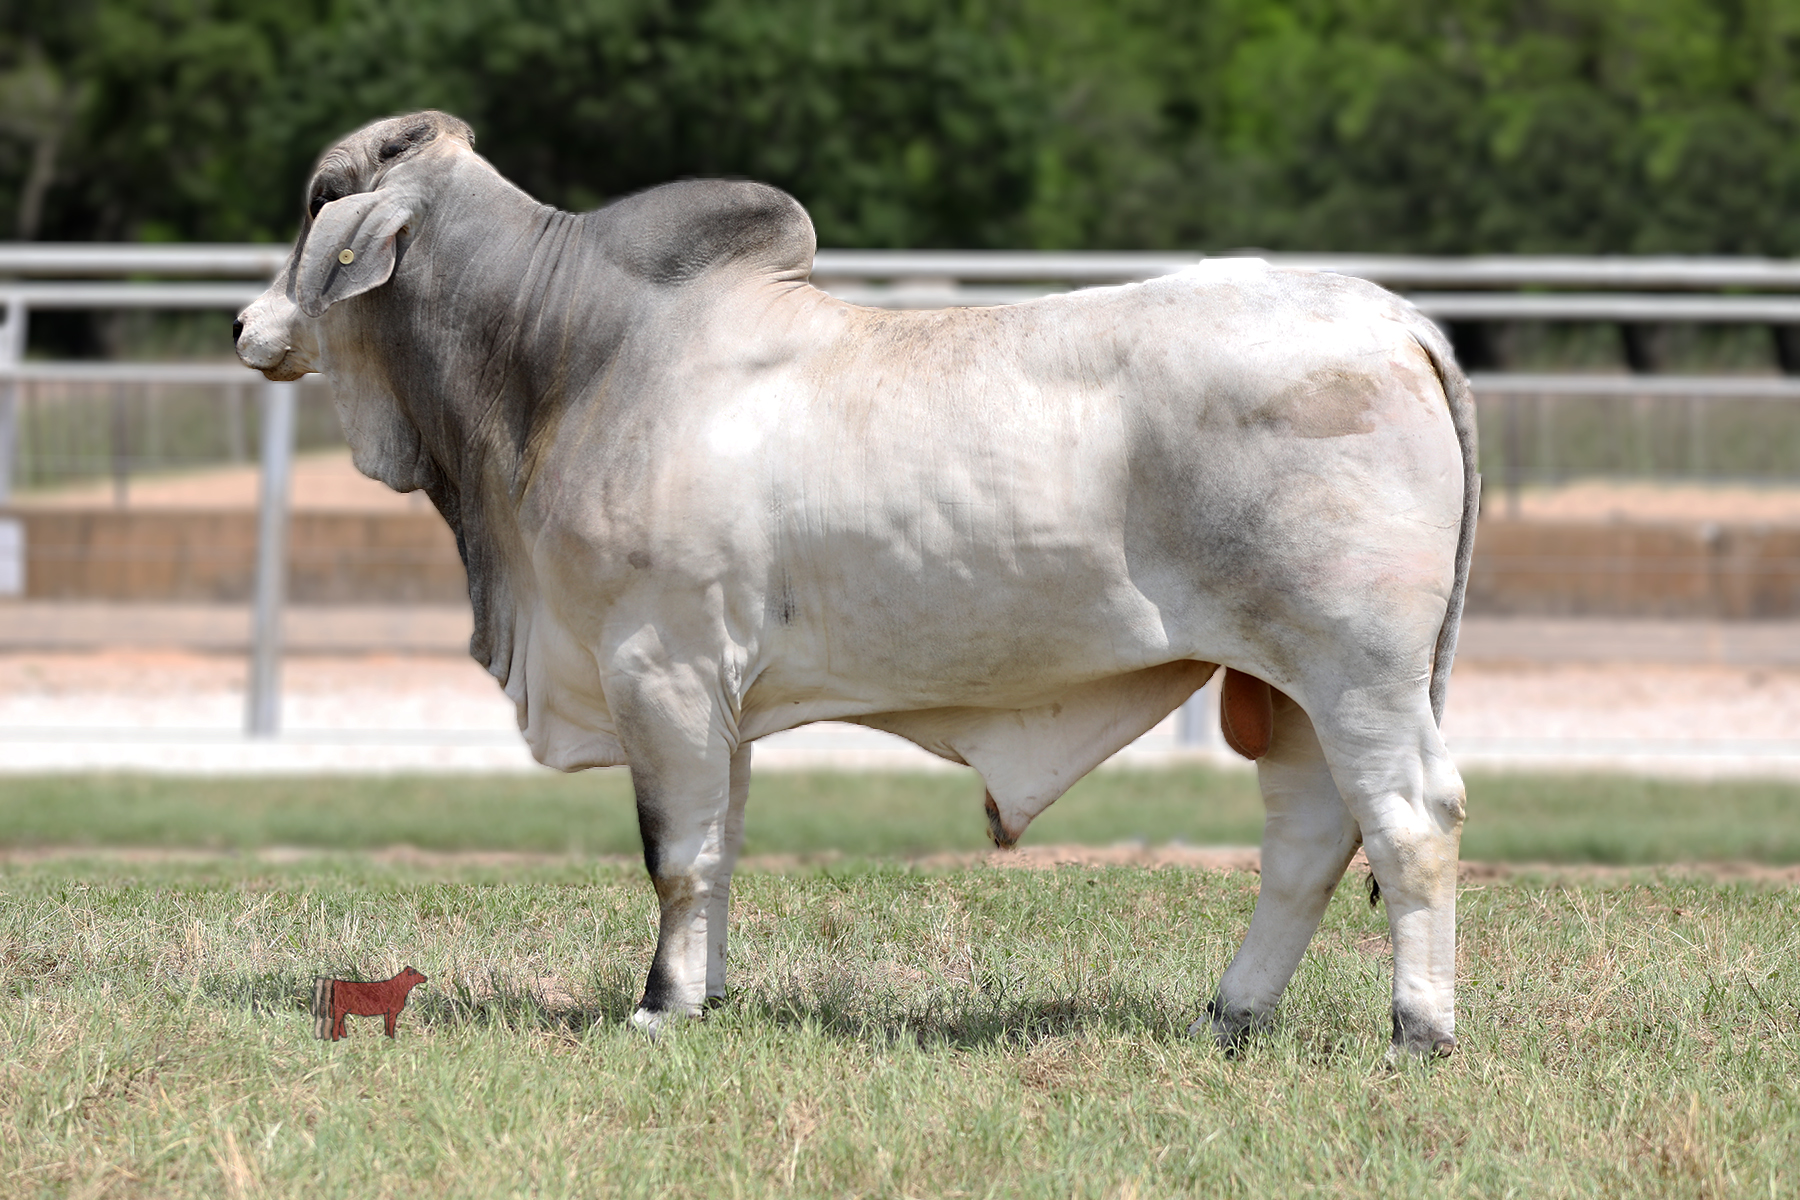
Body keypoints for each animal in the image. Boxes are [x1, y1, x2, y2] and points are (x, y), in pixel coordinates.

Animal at [237, 111, 1478, 1059]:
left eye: (319, 201)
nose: (247, 323)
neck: (572, 359)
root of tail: (1396, 317)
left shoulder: (660, 668)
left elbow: (673, 854)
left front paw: (660, 1007)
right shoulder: (715, 695)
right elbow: (720, 848)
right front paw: (709, 995)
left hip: (1358, 668)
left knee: (1411, 821)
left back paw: (1418, 1032)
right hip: (1295, 686)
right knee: (1309, 837)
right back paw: (1230, 1016)